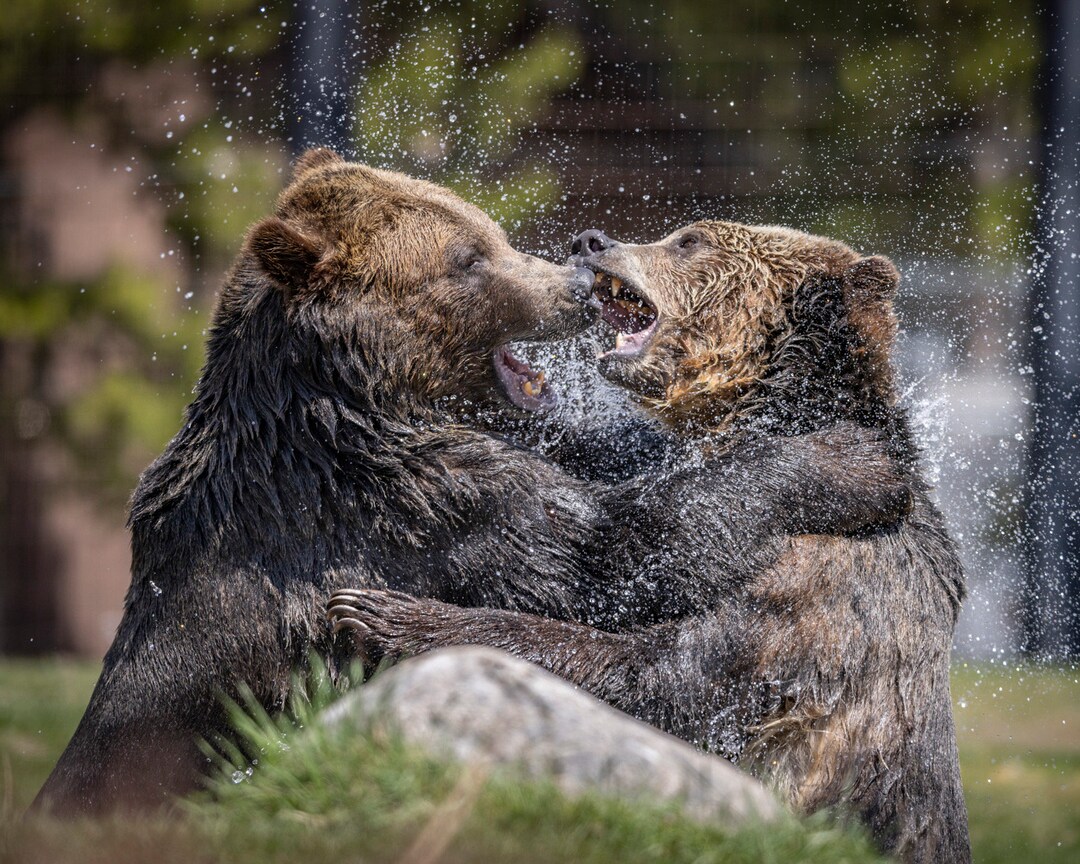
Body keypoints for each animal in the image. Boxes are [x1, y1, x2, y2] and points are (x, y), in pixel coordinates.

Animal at [33, 153, 902, 816]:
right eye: (467, 259)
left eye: (489, 231)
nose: (575, 281)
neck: (356, 402)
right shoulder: (412, 505)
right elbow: (603, 555)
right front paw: (852, 462)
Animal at [327, 221, 971, 864]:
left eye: (690, 240)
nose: (592, 240)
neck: (781, 415)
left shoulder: (819, 586)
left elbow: (664, 676)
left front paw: (385, 616)